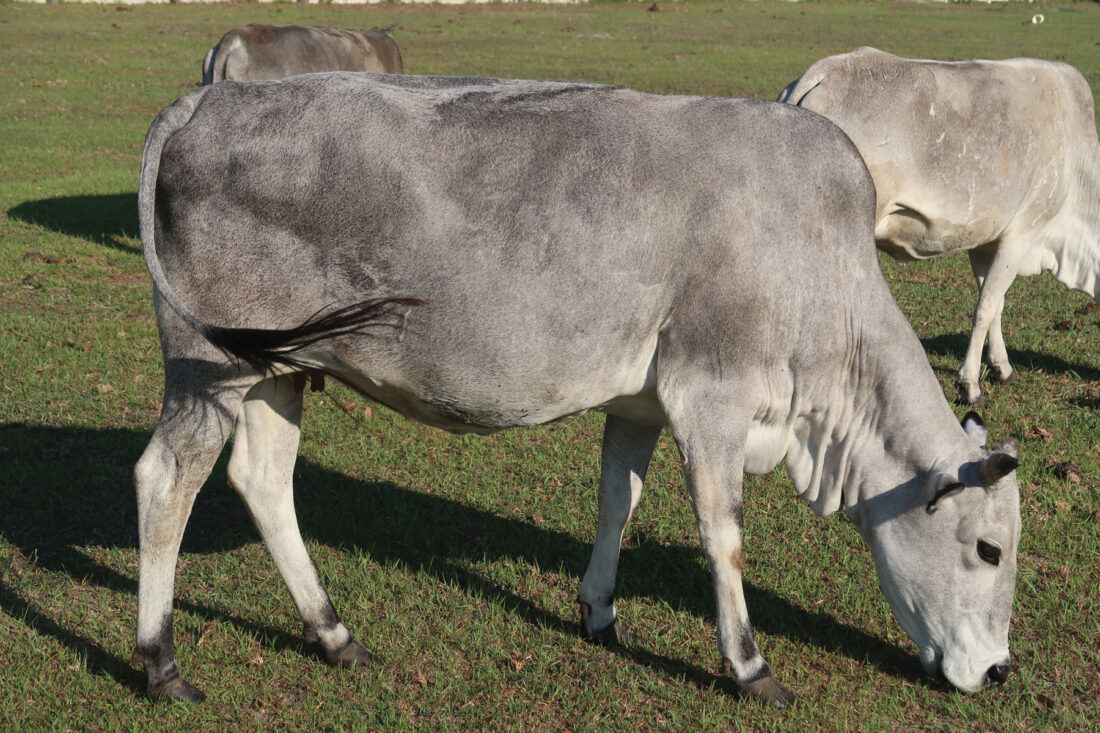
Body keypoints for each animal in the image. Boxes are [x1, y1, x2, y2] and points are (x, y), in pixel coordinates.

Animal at [134, 73, 1023, 708]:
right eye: (988, 547)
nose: (999, 670)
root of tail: (208, 98)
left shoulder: (642, 403)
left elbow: (616, 503)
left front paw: (600, 610)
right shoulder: (713, 397)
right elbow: (724, 535)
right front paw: (748, 663)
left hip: (275, 371)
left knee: (263, 479)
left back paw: (332, 631)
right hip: (207, 367)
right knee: (165, 480)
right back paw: (159, 659)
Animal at [779, 47, 1100, 405]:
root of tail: (825, 71)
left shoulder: (985, 242)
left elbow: (995, 305)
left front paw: (1002, 368)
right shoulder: (1020, 235)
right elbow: (986, 308)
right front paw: (970, 385)